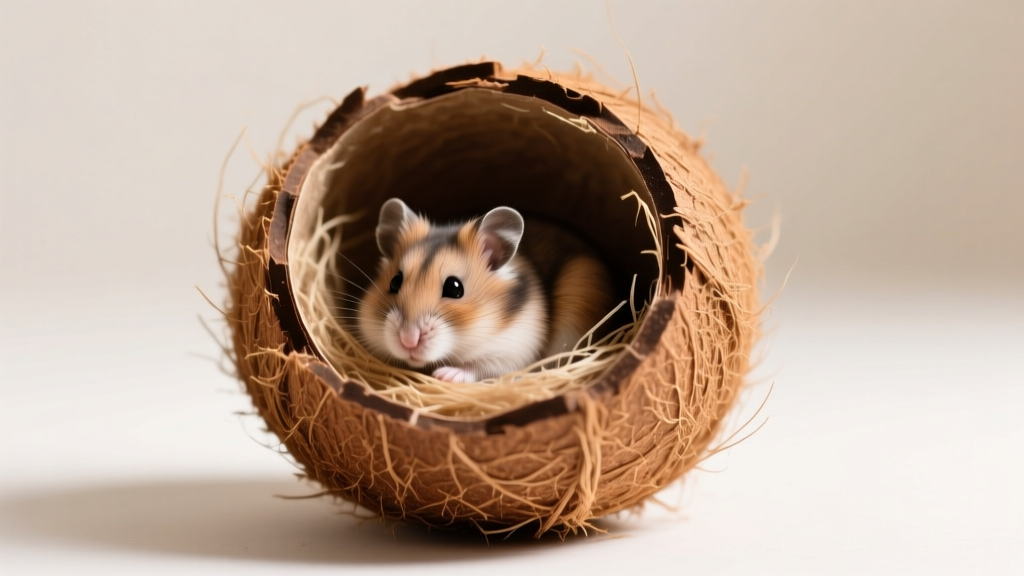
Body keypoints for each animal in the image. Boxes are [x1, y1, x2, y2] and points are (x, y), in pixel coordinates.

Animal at [355, 198, 615, 384]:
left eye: (455, 288)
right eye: (395, 282)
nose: (408, 340)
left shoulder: (514, 349)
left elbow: (478, 368)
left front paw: (444, 375)